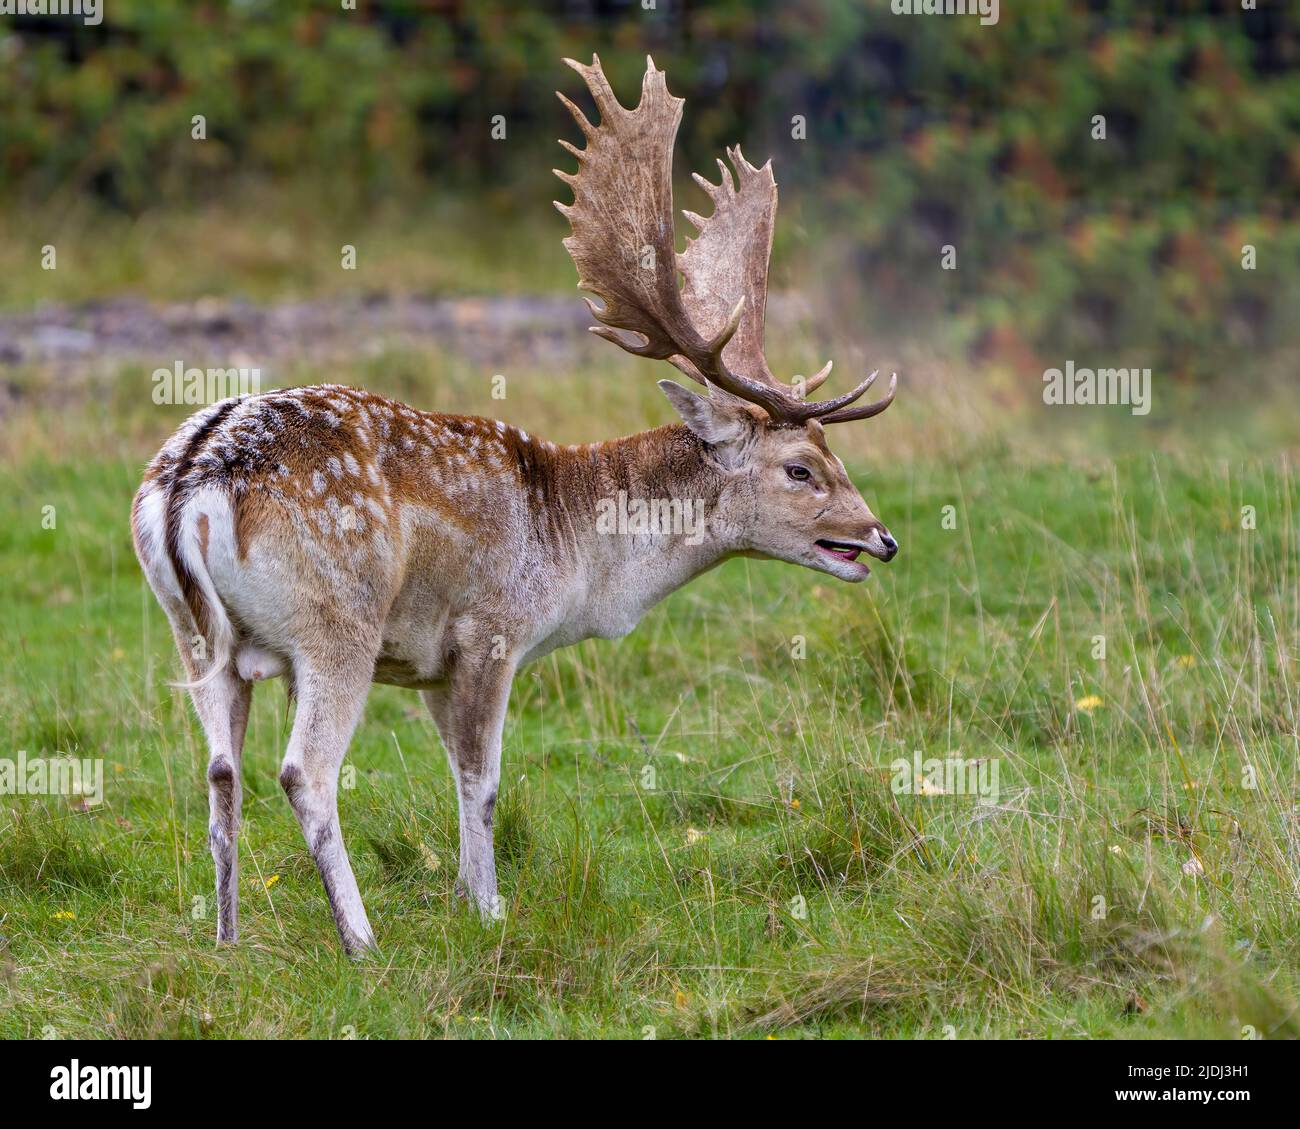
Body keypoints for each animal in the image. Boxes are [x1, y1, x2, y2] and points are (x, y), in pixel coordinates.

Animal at [130, 55, 899, 956]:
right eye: (802, 469)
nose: (880, 537)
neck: (576, 554)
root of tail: (190, 485)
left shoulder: (427, 664)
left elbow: (457, 772)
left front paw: (470, 896)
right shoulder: (488, 630)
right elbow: (484, 777)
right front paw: (490, 909)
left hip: (193, 632)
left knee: (219, 770)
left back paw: (227, 938)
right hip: (336, 623)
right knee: (304, 771)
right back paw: (361, 940)